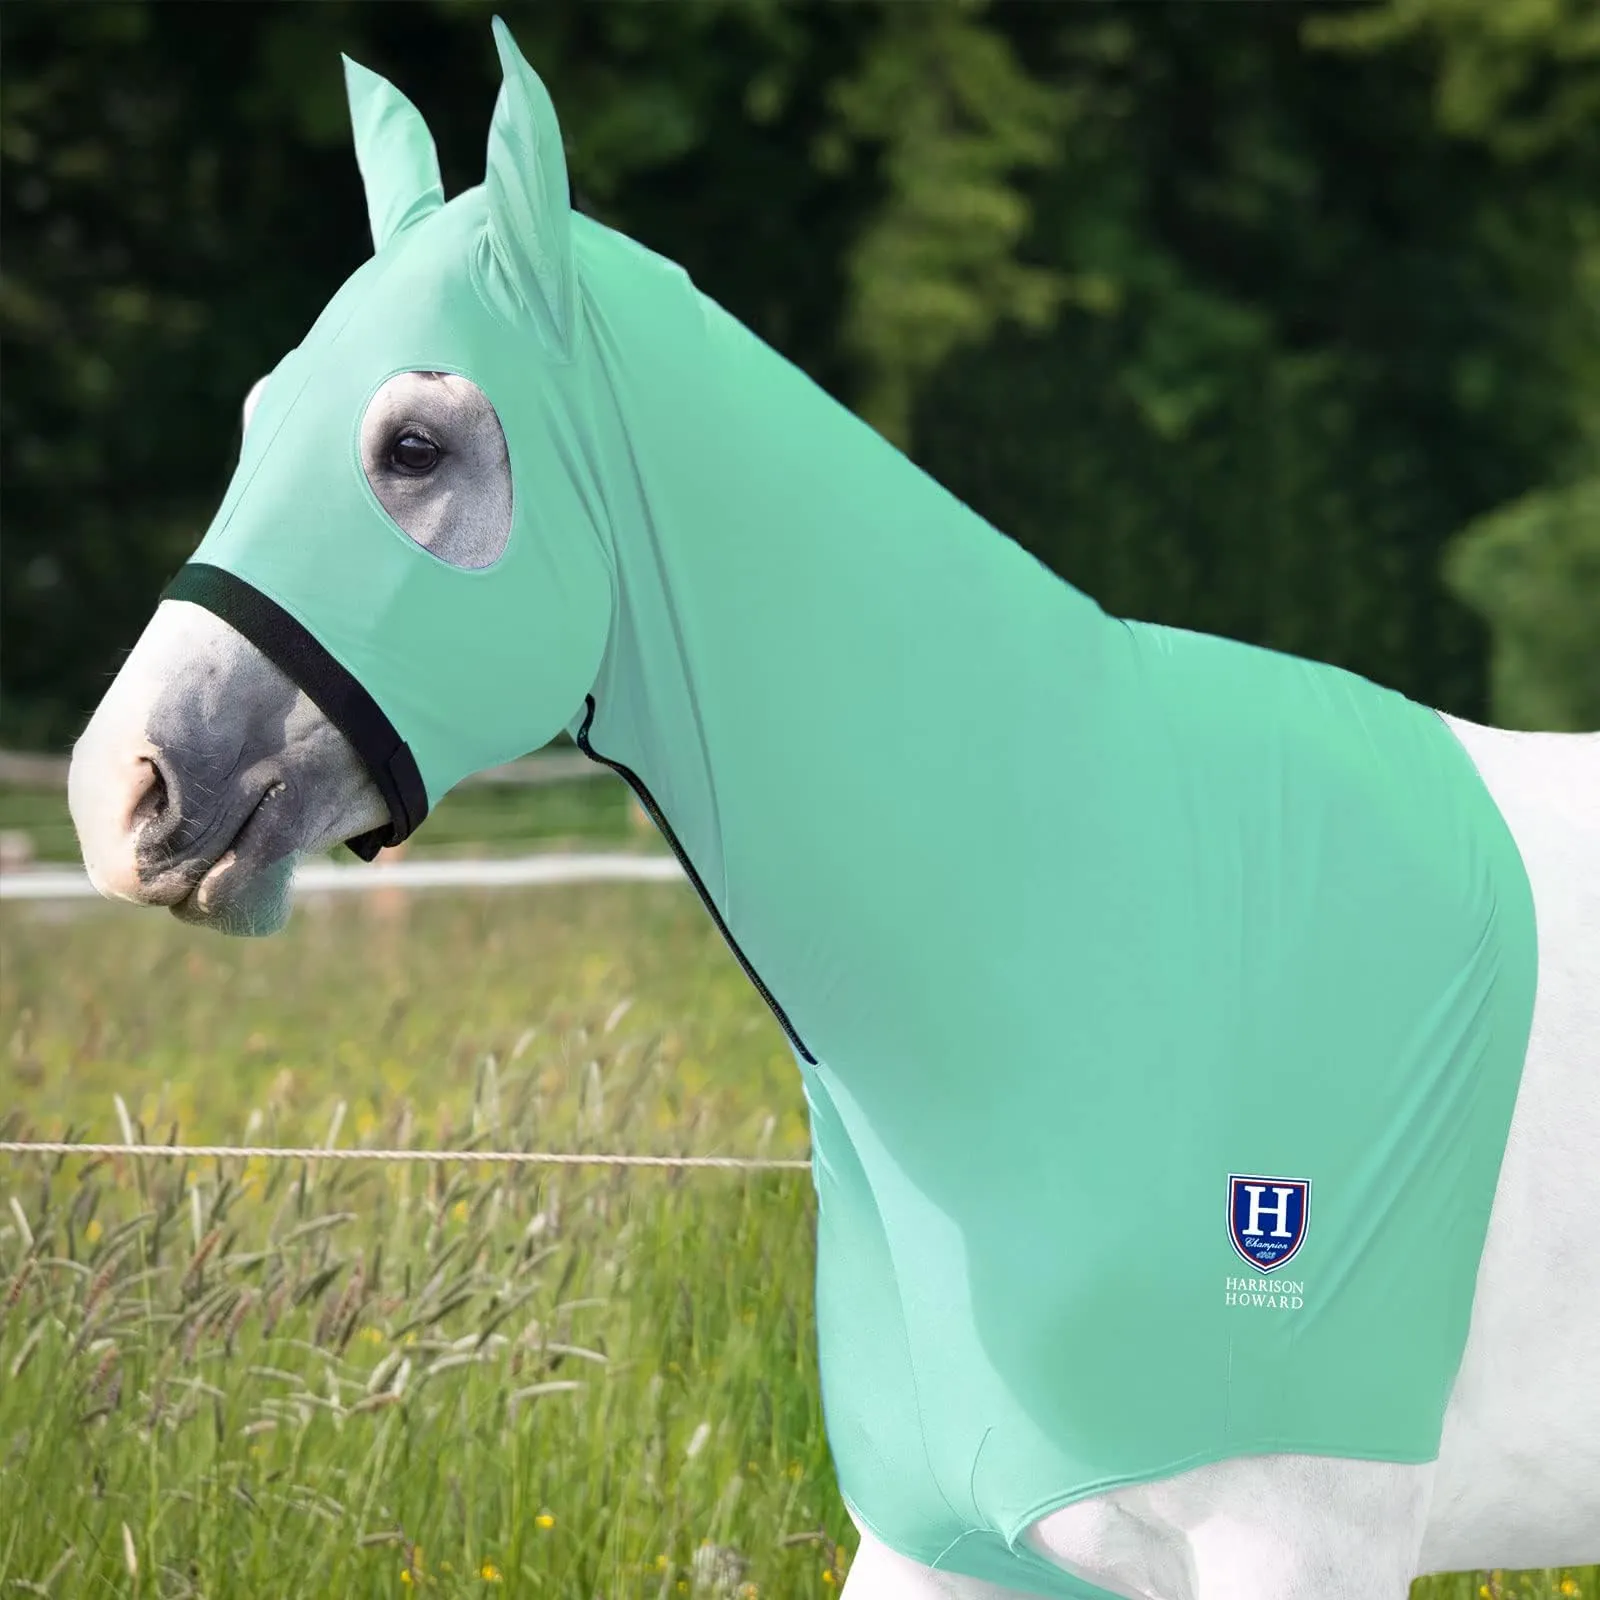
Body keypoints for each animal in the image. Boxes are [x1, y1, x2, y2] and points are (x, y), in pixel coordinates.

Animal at [66, 22, 1598, 1599]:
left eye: (414, 447)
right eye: (257, 418)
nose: (121, 790)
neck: (1106, 915)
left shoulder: (1297, 1543)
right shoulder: (942, 1538)